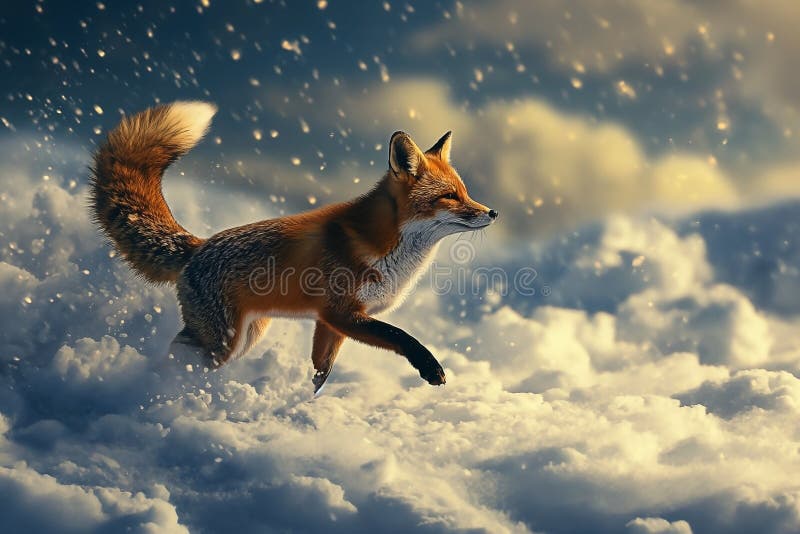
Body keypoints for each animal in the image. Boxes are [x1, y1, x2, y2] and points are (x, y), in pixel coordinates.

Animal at [89, 101, 498, 392]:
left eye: (465, 193)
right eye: (449, 197)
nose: (492, 212)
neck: (389, 250)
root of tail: (198, 245)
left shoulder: (329, 322)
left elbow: (320, 371)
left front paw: (305, 402)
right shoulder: (342, 312)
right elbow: (399, 335)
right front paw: (430, 367)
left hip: (245, 335)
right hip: (221, 342)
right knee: (175, 360)